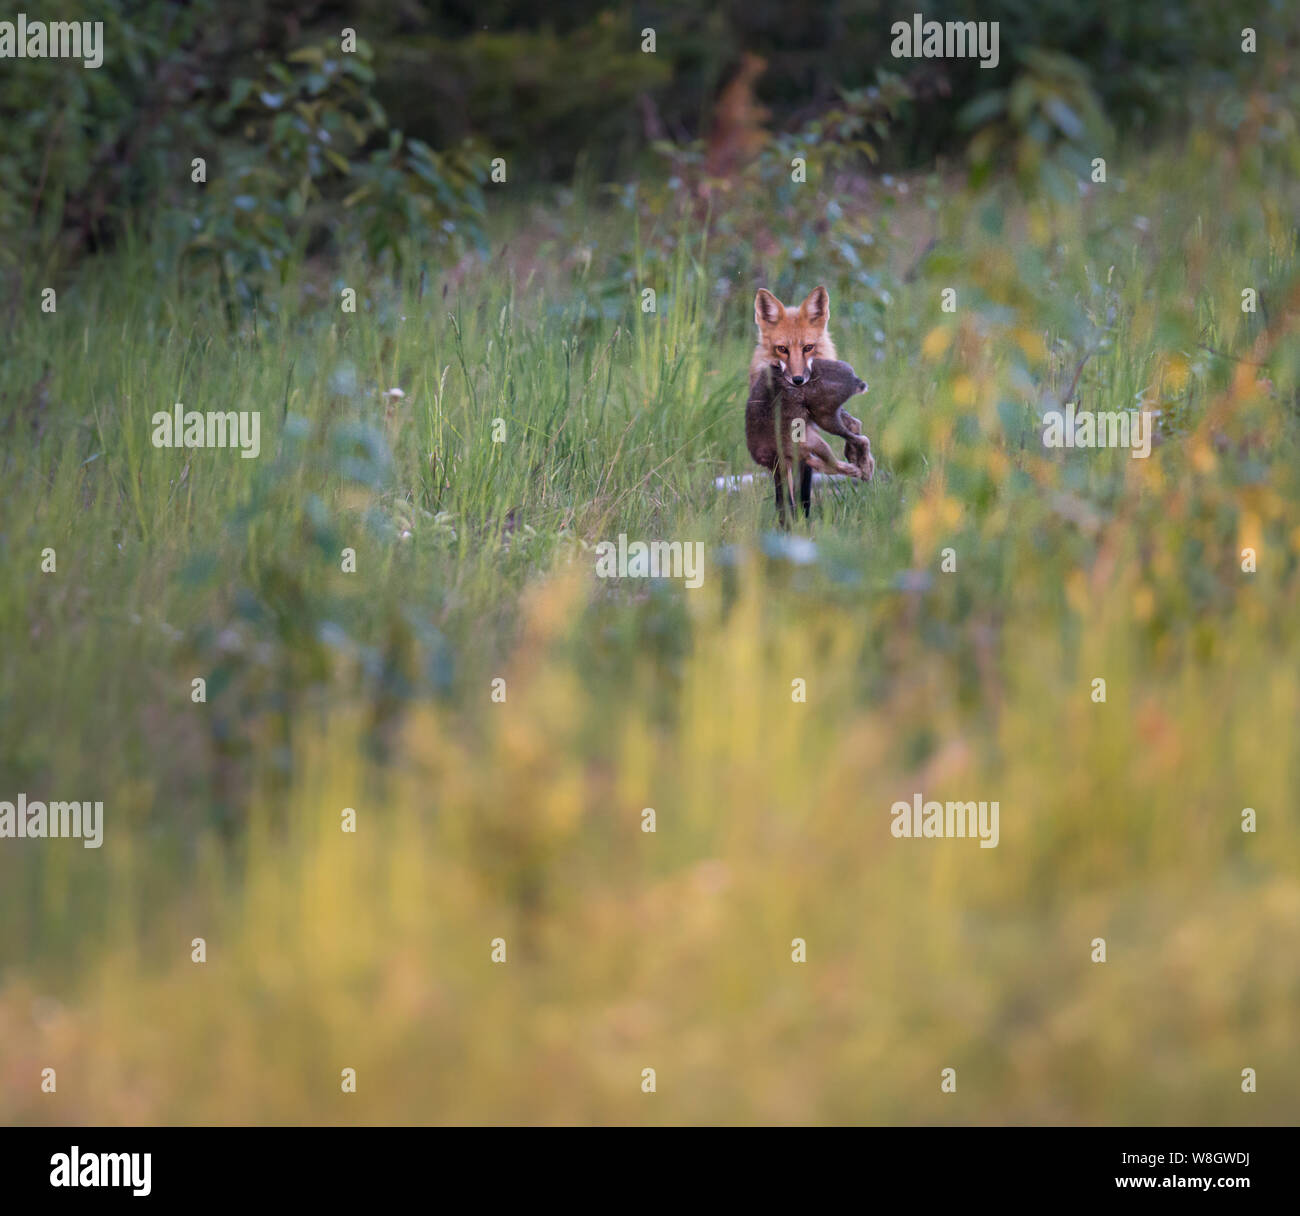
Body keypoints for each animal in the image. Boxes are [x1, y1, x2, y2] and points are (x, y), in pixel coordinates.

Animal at [747, 286, 873, 522]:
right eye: (782, 349)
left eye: (808, 347)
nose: (798, 380)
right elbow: (784, 499)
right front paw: (789, 524)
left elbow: (803, 495)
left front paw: (801, 523)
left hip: (819, 429)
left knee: (854, 436)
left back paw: (861, 463)